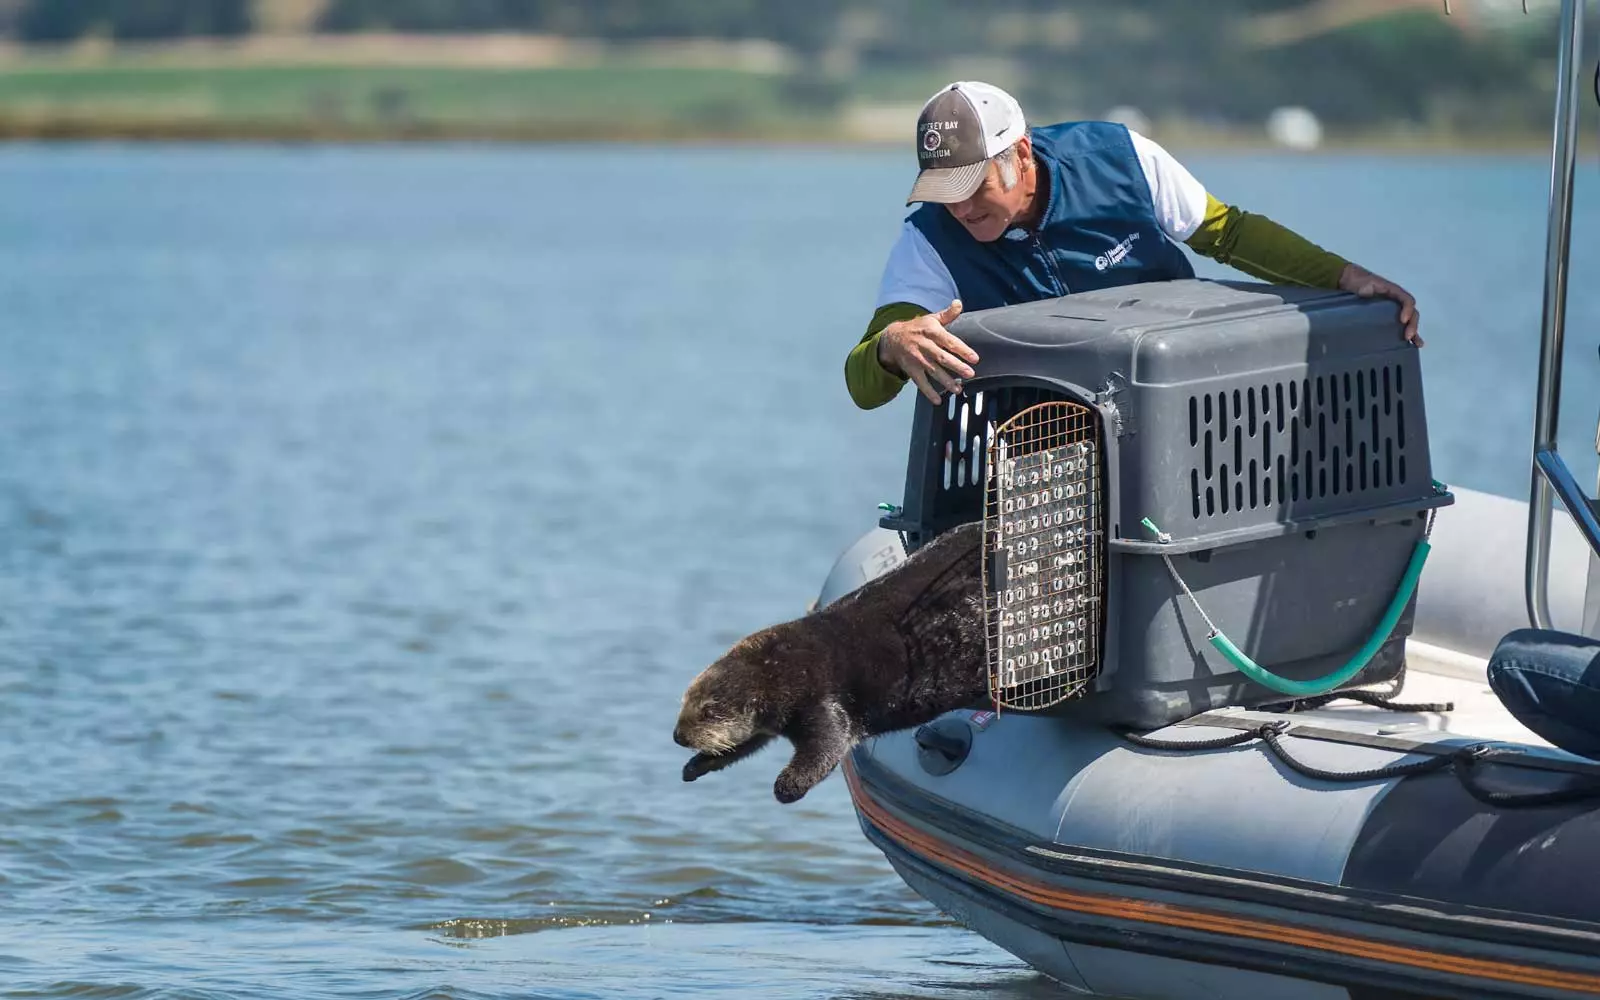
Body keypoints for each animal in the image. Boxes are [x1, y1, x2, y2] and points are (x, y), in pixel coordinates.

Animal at [672, 518, 985, 800]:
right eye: (684, 702)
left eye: (708, 712)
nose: (678, 736)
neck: (780, 668)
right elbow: (746, 744)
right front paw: (694, 767)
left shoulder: (822, 699)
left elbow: (828, 744)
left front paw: (787, 787)